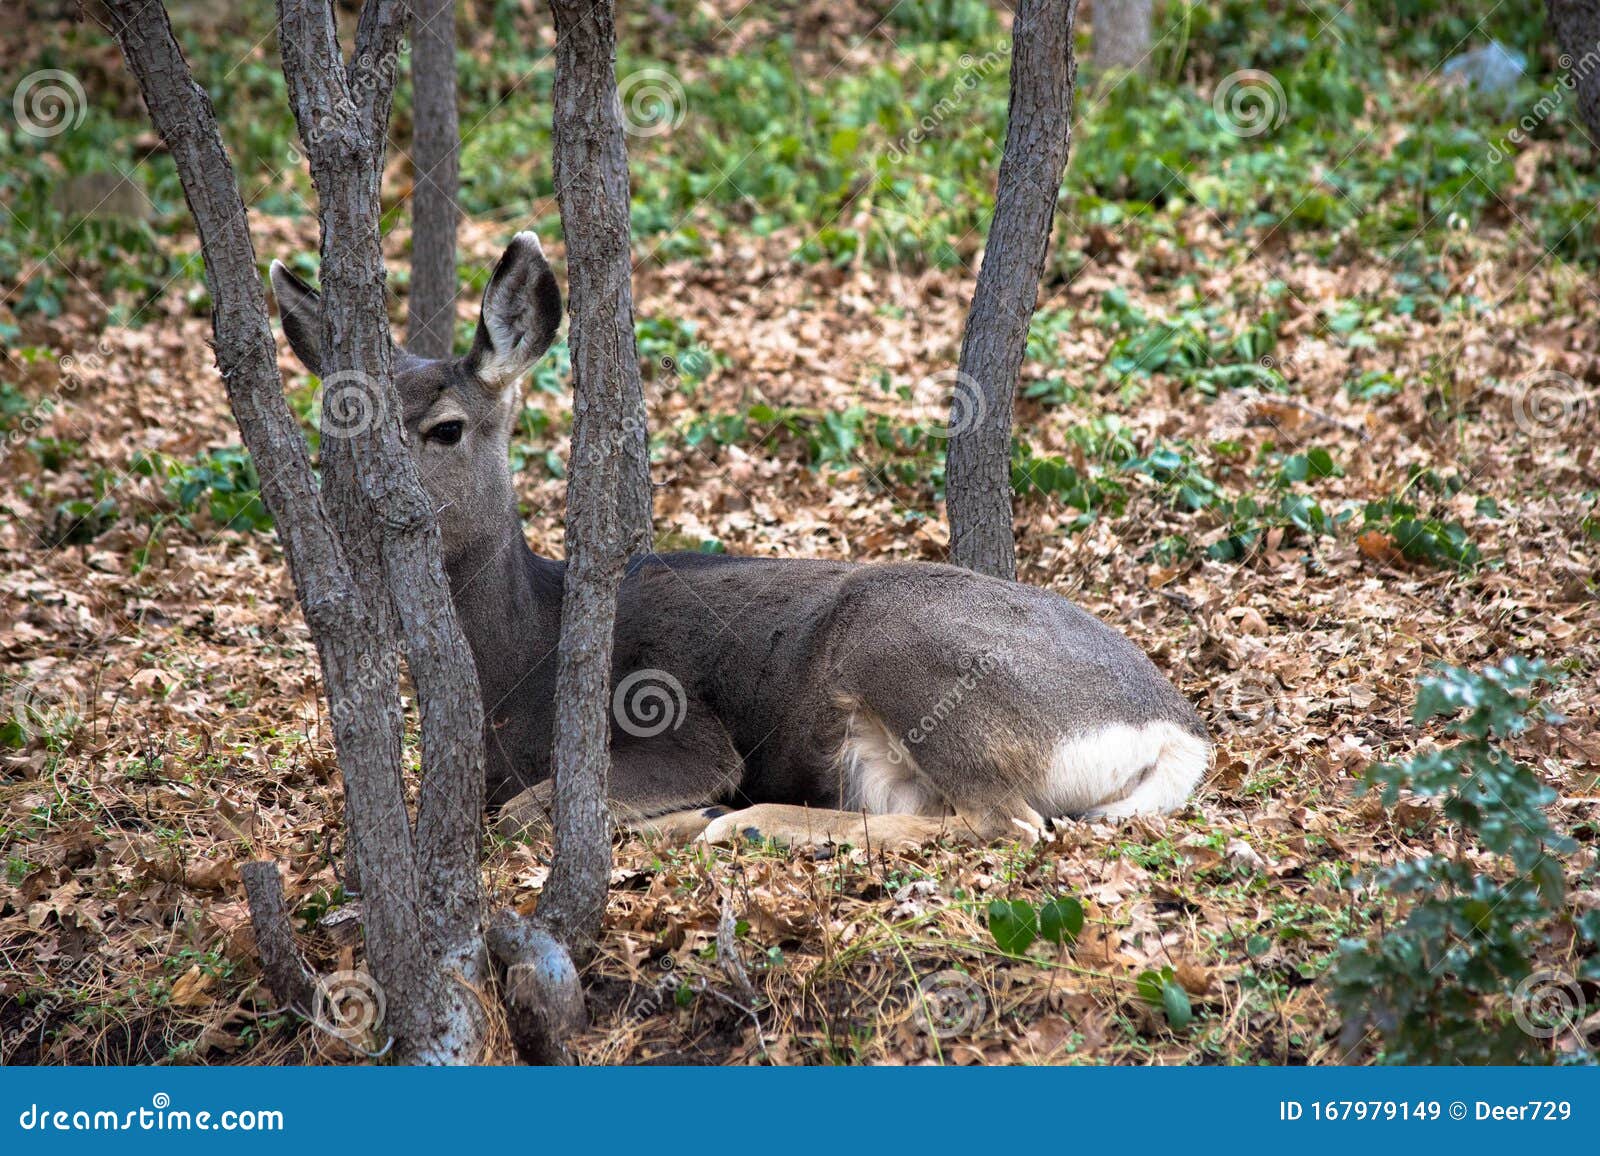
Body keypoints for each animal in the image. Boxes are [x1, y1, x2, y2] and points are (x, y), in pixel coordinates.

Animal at [269, 233, 1211, 850]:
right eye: (336, 423)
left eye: (447, 429)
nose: (349, 516)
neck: (527, 655)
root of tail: (1176, 732)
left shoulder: (678, 728)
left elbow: (528, 810)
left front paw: (691, 812)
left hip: (905, 647)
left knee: (1008, 823)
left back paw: (739, 822)